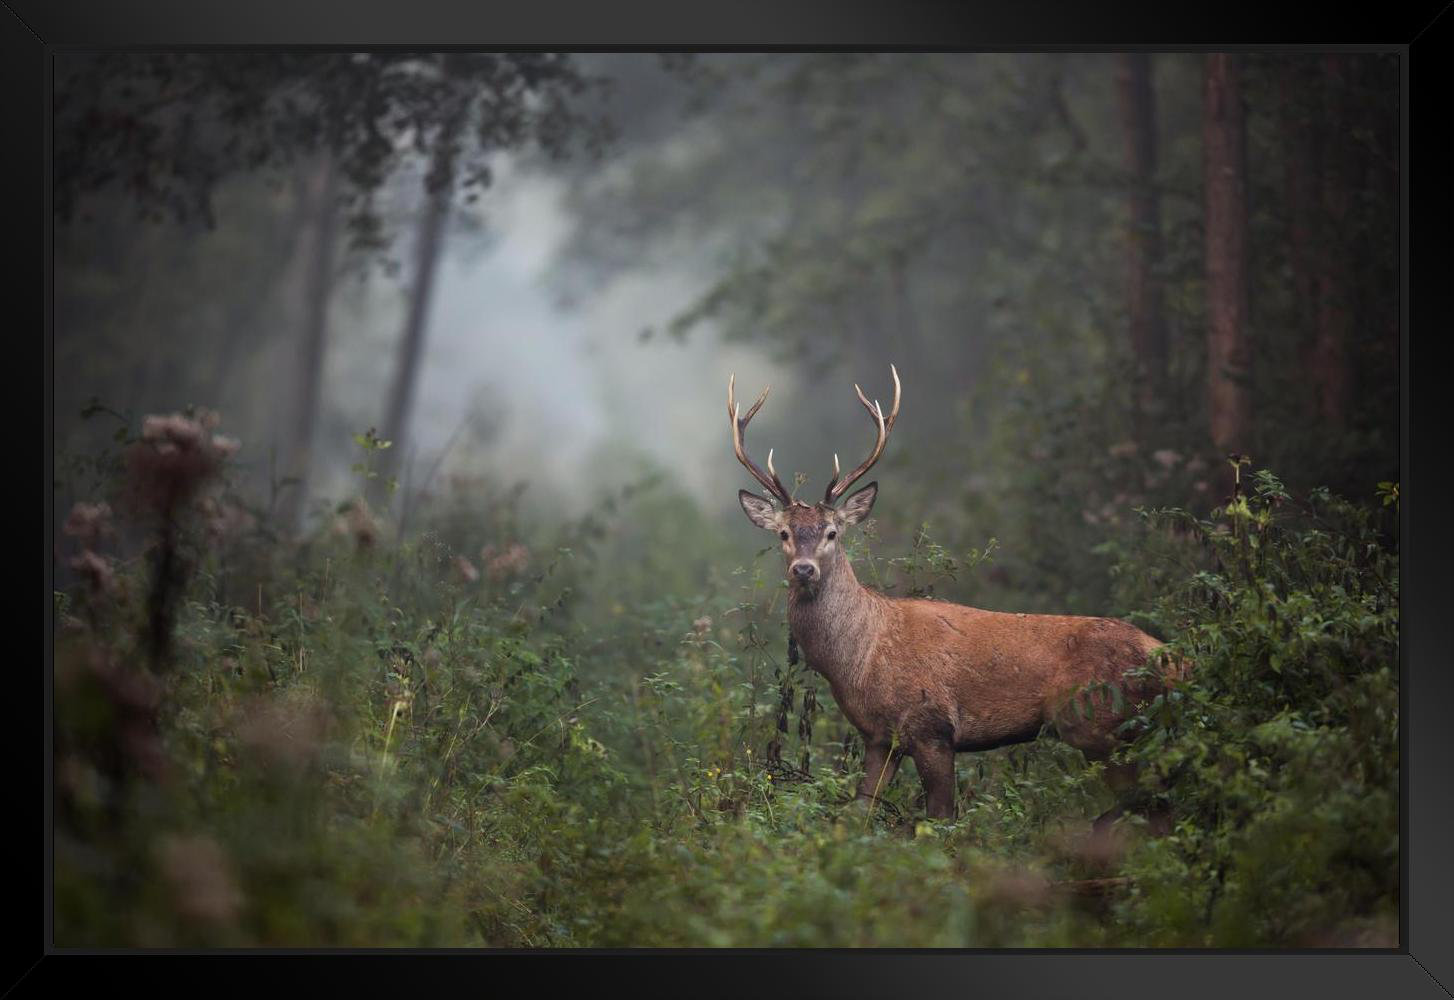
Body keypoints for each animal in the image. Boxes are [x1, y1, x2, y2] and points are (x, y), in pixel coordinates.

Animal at [728, 364, 1186, 824]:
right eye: (784, 533)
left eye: (831, 532)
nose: (803, 569)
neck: (859, 660)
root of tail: (1170, 659)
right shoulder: (880, 736)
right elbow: (860, 811)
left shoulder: (933, 727)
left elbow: (940, 818)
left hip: (1100, 724)